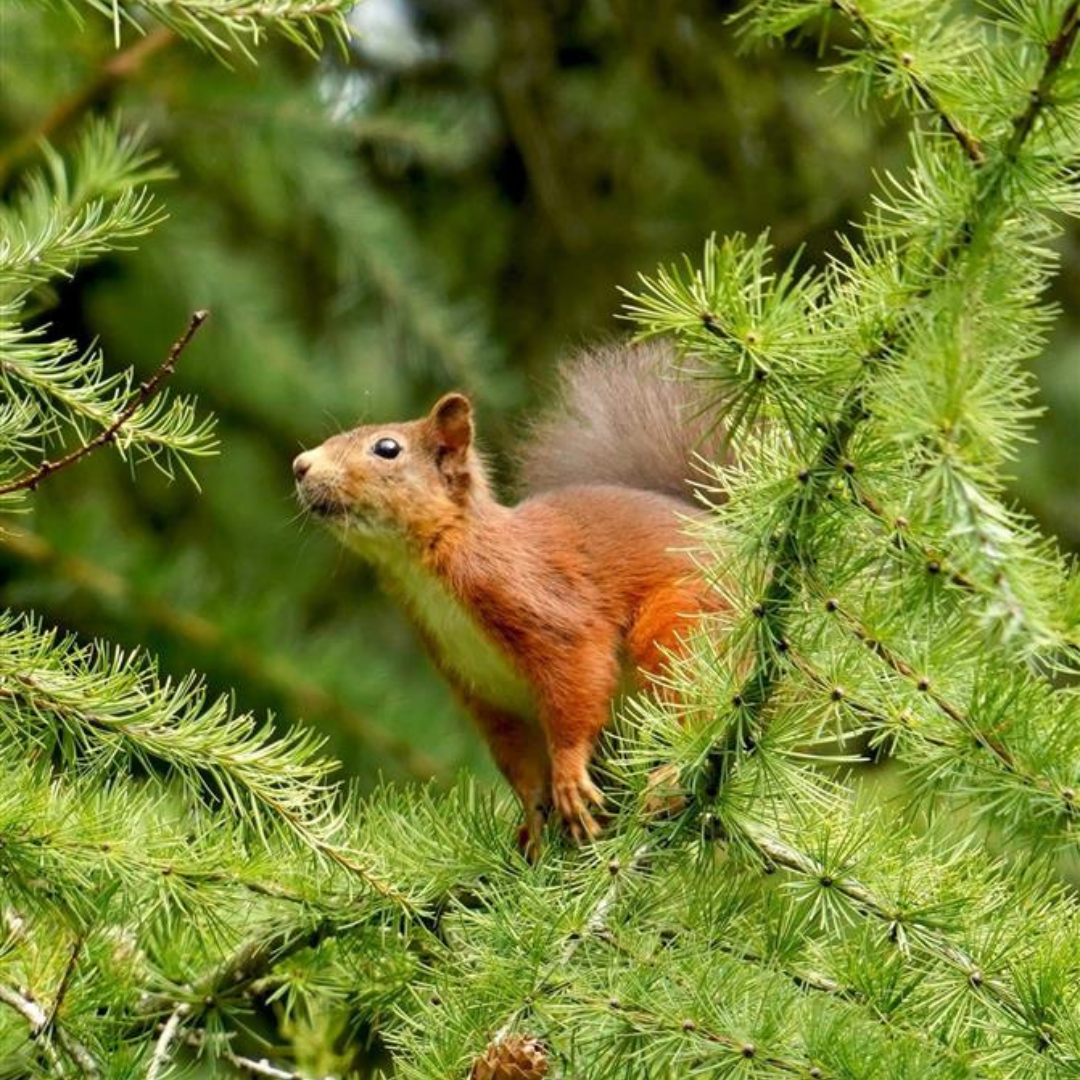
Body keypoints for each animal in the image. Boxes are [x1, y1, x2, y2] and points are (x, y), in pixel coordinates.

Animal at [292, 341, 724, 853]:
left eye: (387, 449)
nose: (300, 466)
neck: (426, 572)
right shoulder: (484, 690)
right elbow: (520, 766)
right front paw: (534, 826)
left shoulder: (551, 612)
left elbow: (576, 694)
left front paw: (569, 779)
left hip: (681, 622)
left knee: (694, 710)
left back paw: (669, 778)